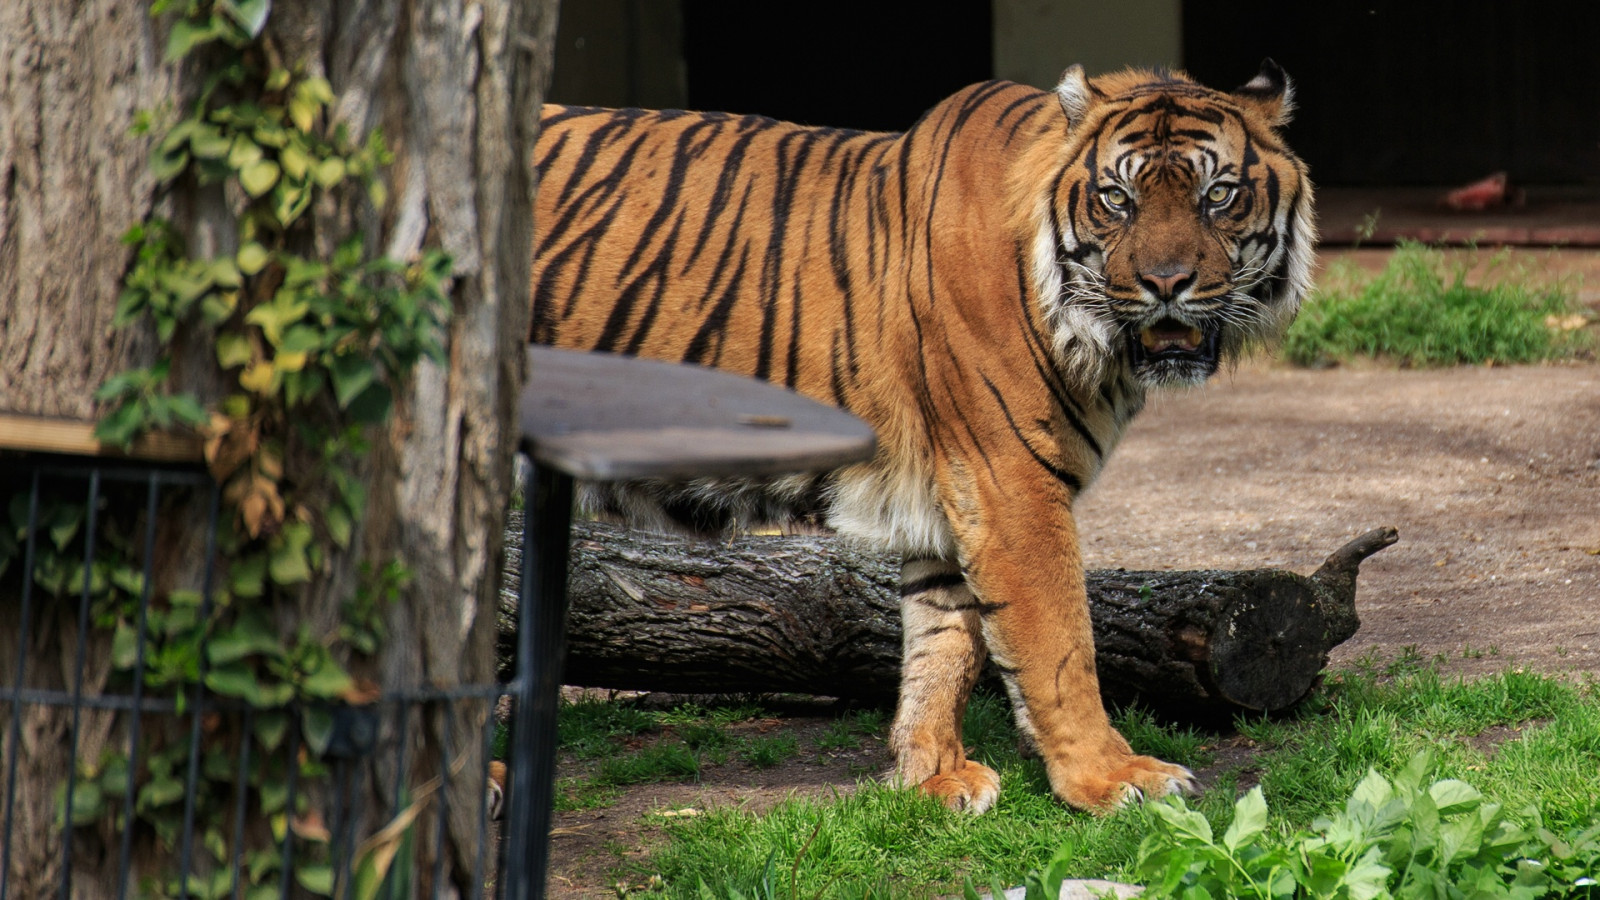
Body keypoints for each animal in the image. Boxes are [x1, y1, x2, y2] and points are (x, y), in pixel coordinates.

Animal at [529, 62, 1315, 814]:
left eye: (1218, 195)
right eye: (1118, 200)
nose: (1166, 282)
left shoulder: (954, 495)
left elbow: (943, 644)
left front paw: (932, 778)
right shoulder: (1012, 484)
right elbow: (1060, 641)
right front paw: (1111, 777)